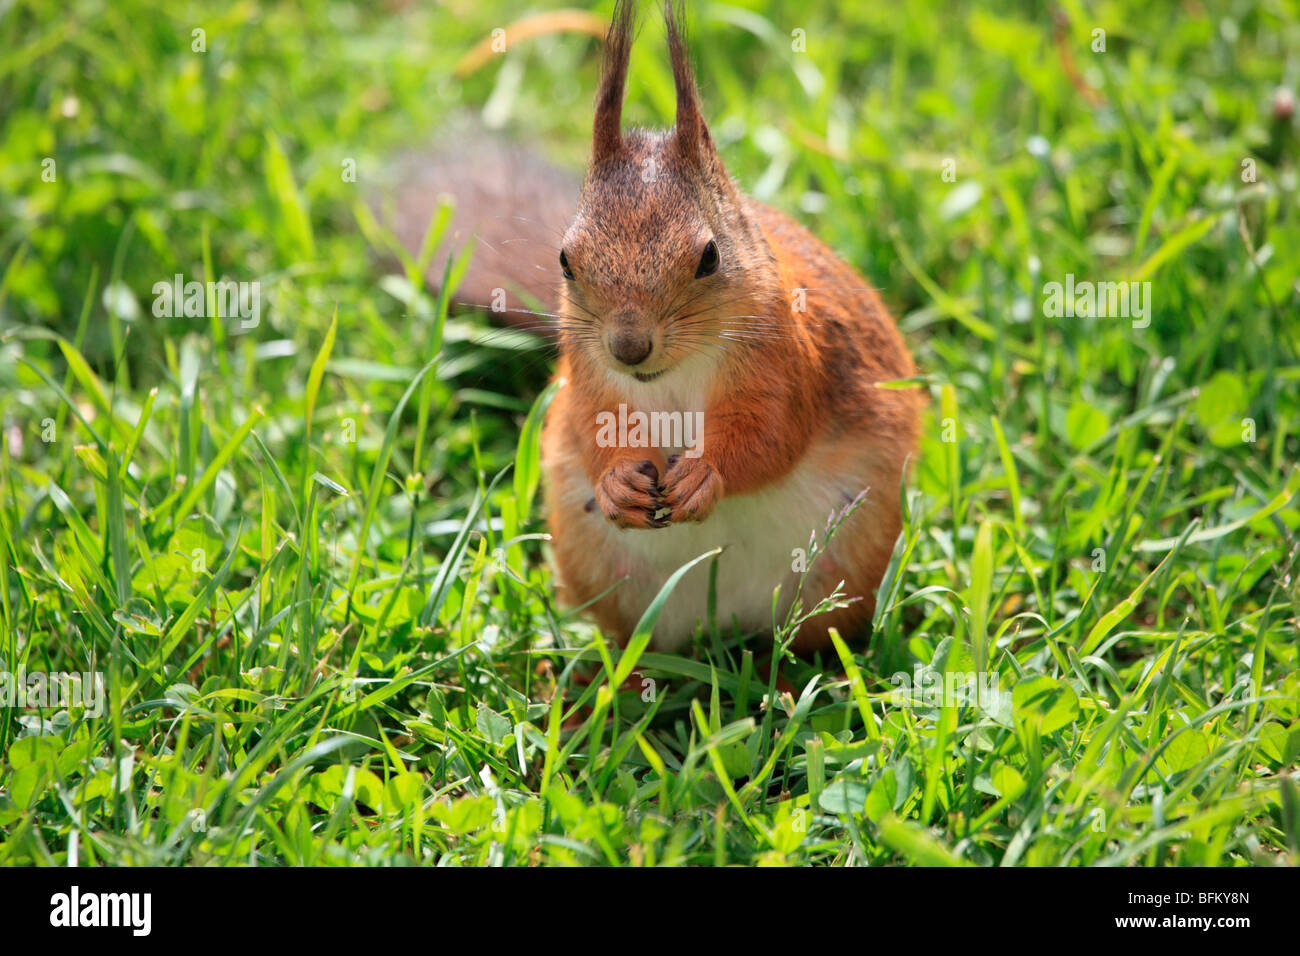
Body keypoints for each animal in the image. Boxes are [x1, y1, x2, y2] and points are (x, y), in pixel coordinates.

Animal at [384, 1, 921, 655]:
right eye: (565, 260)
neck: (674, 373)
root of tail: (721, 630)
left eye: (710, 257)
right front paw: (617, 482)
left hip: (842, 570)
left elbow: (772, 434)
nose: (629, 346)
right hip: (602, 575)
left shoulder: (789, 360)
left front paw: (706, 475)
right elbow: (591, 428)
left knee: (812, 641)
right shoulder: (588, 373)